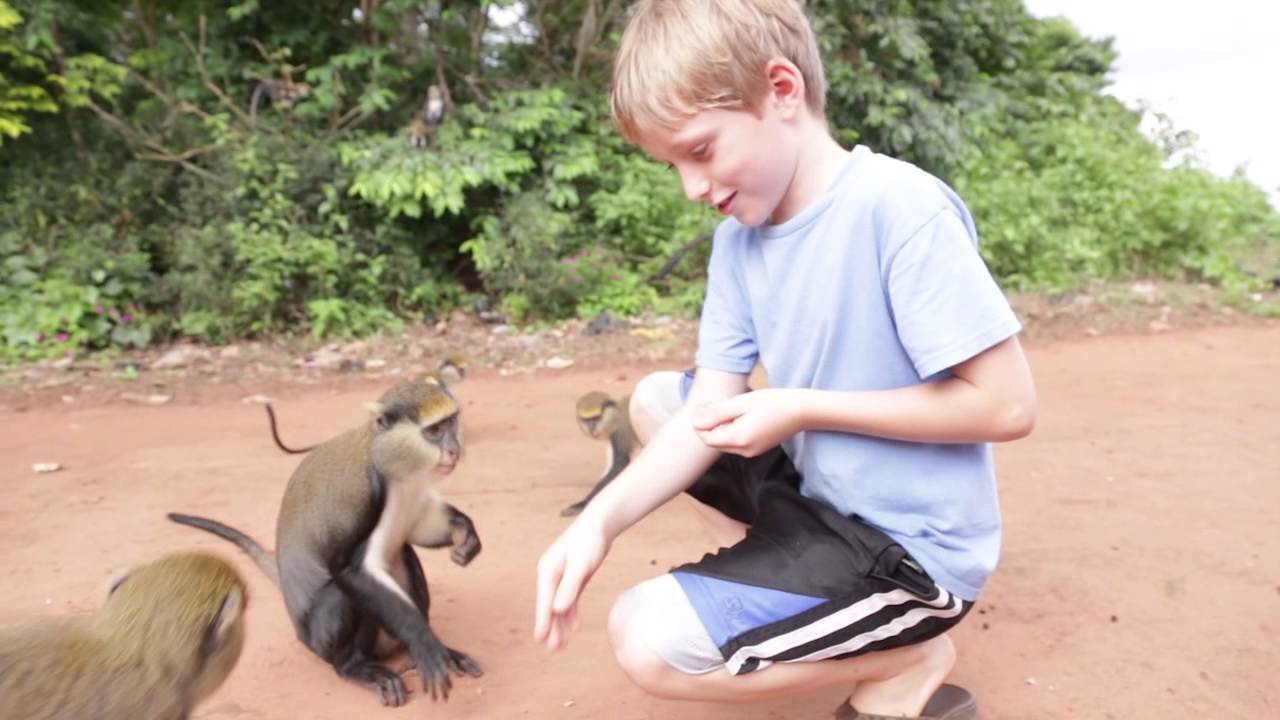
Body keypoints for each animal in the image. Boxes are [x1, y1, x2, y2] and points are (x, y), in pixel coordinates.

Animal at [169, 379, 482, 706]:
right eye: (433, 431)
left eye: (451, 422)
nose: (454, 450)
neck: (389, 464)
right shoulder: (361, 499)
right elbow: (351, 571)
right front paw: (425, 644)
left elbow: (419, 526)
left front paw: (464, 532)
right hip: (322, 640)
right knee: (340, 594)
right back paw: (356, 667)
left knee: (405, 553)